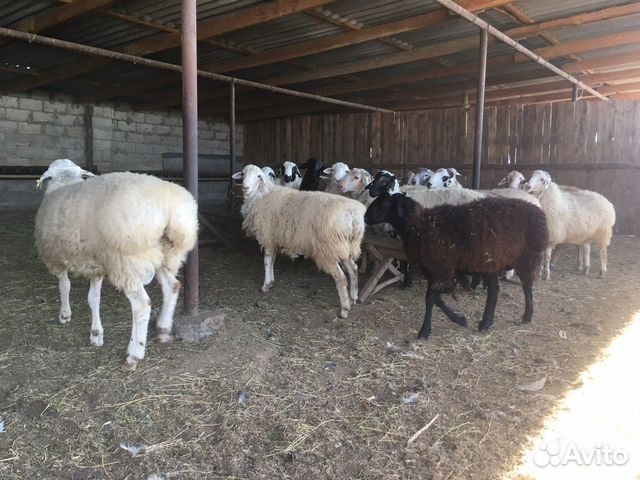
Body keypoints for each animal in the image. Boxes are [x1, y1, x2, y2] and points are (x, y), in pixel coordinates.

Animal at [34, 159, 198, 371]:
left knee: (142, 306)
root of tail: (169, 206)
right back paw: (163, 328)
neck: (64, 182)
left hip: (127, 260)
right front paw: (96, 334)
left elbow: (65, 286)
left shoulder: (56, 257)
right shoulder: (96, 264)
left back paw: (133, 355)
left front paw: (65, 315)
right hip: (167, 255)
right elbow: (93, 298)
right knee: (173, 286)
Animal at [232, 164, 365, 319]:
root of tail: (354, 215)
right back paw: (353, 297)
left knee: (341, 278)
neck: (262, 195)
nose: (245, 187)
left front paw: (266, 284)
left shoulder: (268, 236)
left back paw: (344, 309)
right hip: (343, 247)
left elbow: (267, 261)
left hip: (329, 249)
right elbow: (272, 261)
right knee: (353, 269)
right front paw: (271, 281)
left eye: (259, 176)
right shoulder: (274, 238)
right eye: (243, 173)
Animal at [364, 192, 549, 338]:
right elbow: (437, 300)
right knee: (495, 290)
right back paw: (487, 322)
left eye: (383, 204)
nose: (365, 217)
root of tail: (539, 212)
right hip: (490, 262)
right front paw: (460, 320)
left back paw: (525, 315)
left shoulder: (440, 268)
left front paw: (424, 331)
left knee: (526, 285)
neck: (420, 226)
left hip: (525, 256)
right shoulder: (437, 271)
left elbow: (430, 299)